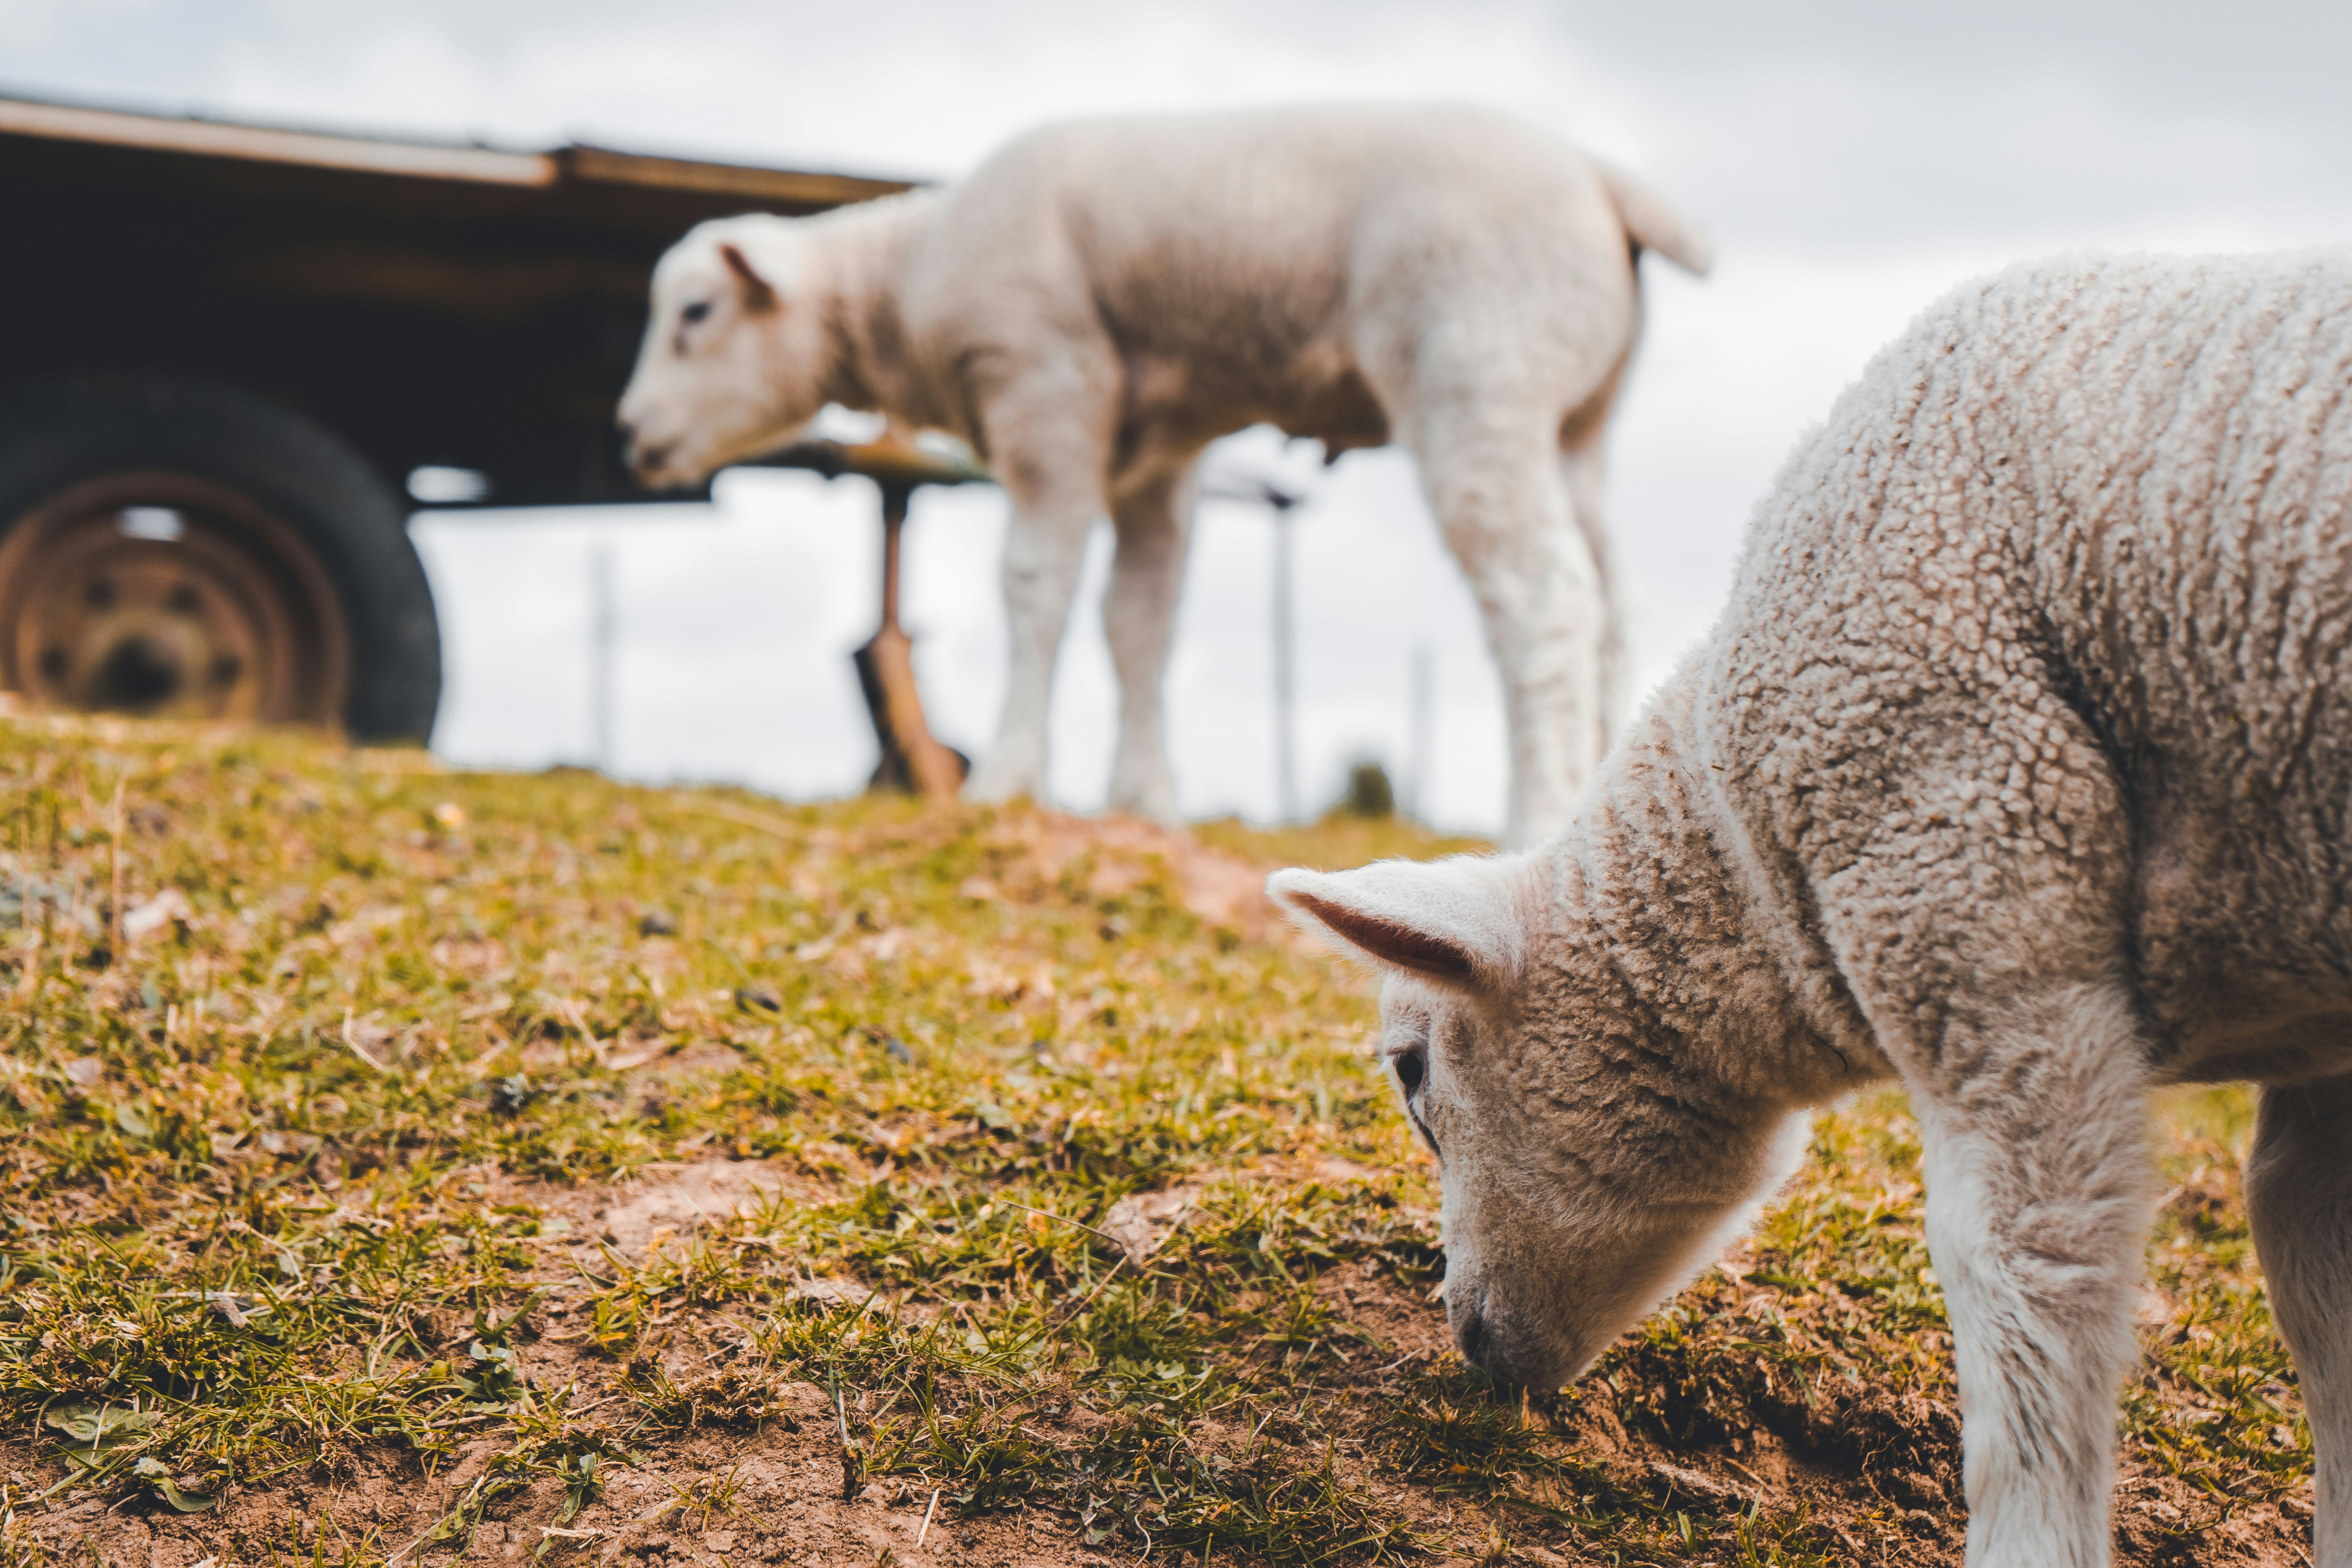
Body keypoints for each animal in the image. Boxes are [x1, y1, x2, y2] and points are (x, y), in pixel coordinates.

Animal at [614, 105, 1710, 846]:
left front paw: (1006, 779)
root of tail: (1604, 183)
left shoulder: (1047, 389)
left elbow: (1036, 590)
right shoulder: (1163, 453)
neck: (909, 275)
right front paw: (1142, 802)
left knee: (1543, 598)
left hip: (1481, 376)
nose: (629, 435)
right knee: (1612, 604)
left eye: (697, 312)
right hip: (1576, 421)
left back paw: (1535, 815)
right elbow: (1137, 623)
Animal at [1269, 251, 2352, 1566]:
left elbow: (2030, 1281)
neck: (1744, 874)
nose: (1467, 1340)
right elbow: (2318, 1290)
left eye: (1412, 1071)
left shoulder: (1969, 877)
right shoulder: (2321, 1058)